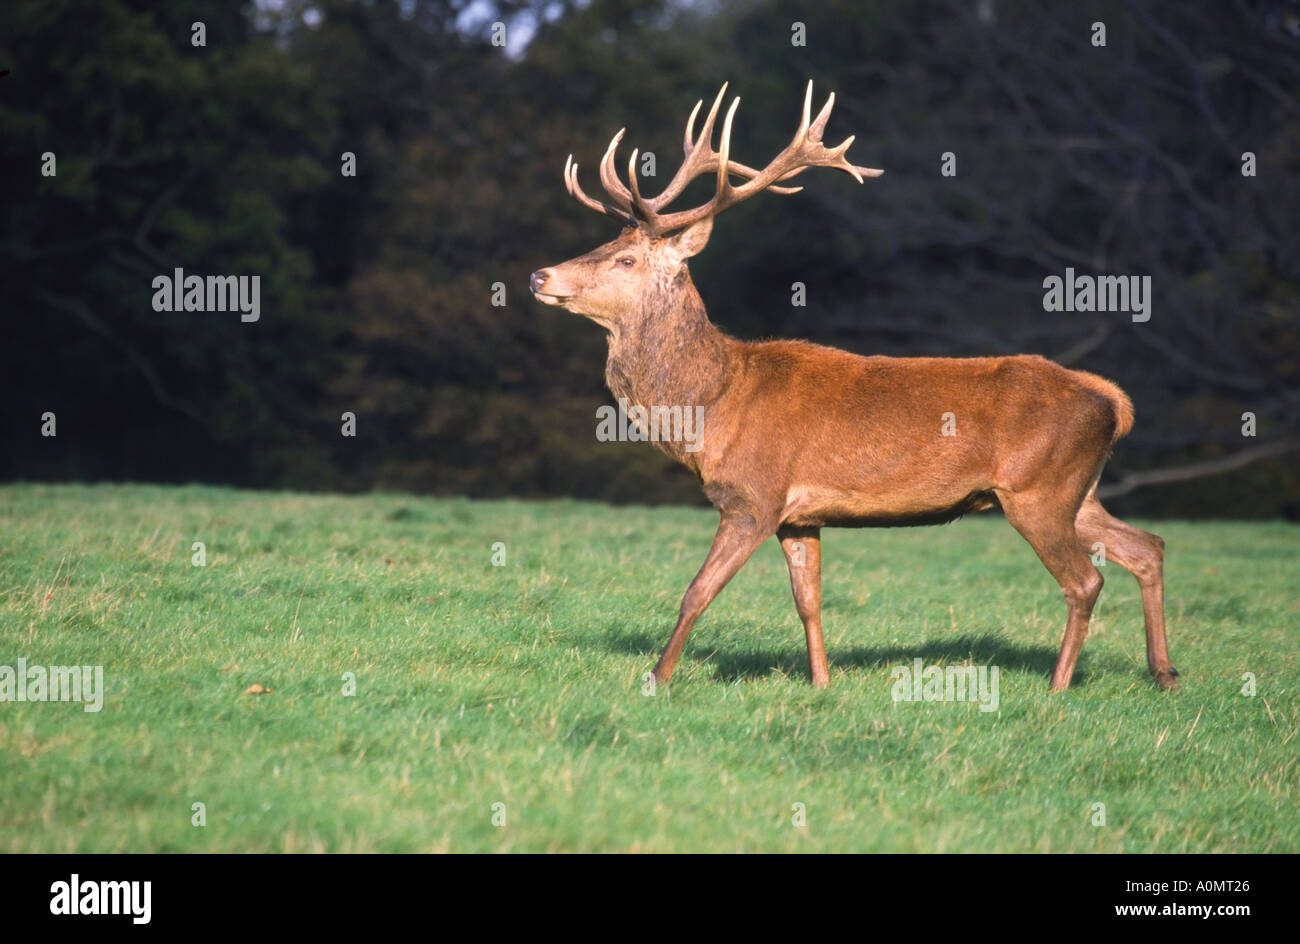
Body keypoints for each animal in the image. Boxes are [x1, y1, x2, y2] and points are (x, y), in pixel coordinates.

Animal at [529, 81, 1178, 694]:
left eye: (627, 261)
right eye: (604, 245)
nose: (539, 274)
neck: (711, 404)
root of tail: (1114, 402)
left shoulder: (753, 497)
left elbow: (696, 592)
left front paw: (657, 679)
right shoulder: (798, 516)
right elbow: (808, 602)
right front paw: (821, 682)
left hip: (1038, 490)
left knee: (1086, 580)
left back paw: (1060, 686)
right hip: (1076, 491)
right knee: (1147, 546)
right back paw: (1164, 673)